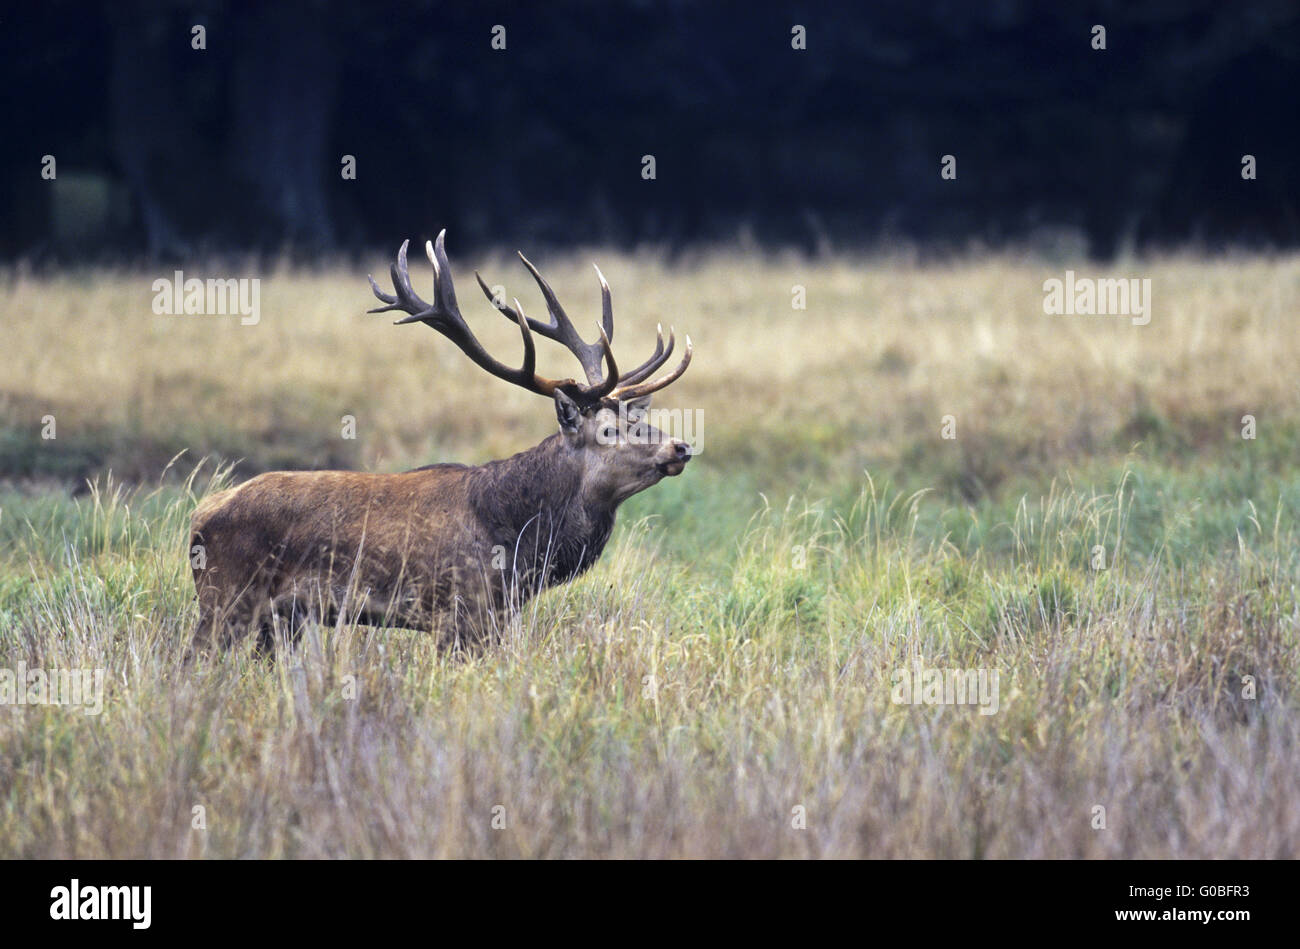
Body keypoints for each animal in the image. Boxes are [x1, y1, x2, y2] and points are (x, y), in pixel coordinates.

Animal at [189, 231, 693, 653]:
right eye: (608, 429)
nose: (680, 447)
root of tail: (199, 515)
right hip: (224, 597)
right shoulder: (463, 610)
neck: (521, 541)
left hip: (280, 619)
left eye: (638, 418)